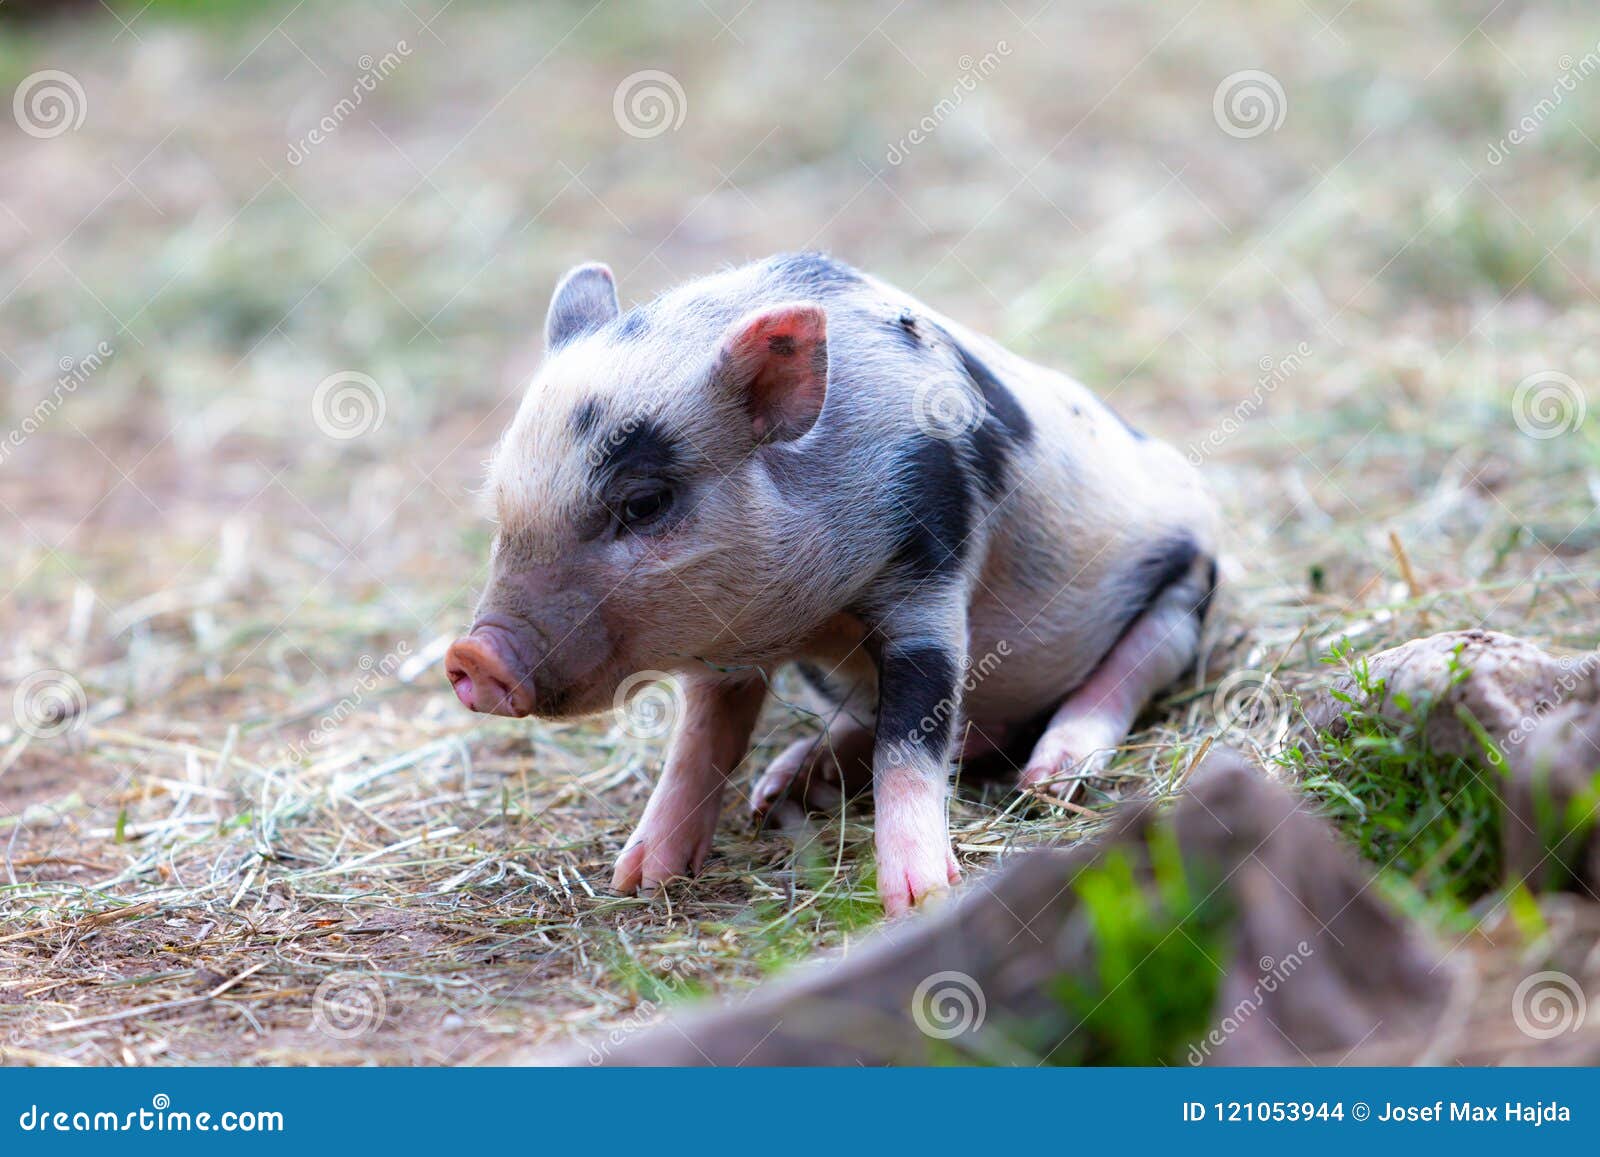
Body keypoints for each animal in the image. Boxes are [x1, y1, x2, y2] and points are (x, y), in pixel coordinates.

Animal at [445, 253, 1218, 916]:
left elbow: (911, 737)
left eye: (643, 503)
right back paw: (781, 787)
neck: (808, 616)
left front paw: (921, 897)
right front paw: (637, 879)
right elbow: (699, 743)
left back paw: (1051, 780)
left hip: (1187, 588)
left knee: (1137, 663)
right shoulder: (725, 647)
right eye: (501, 500)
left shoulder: (930, 572)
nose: (473, 656)